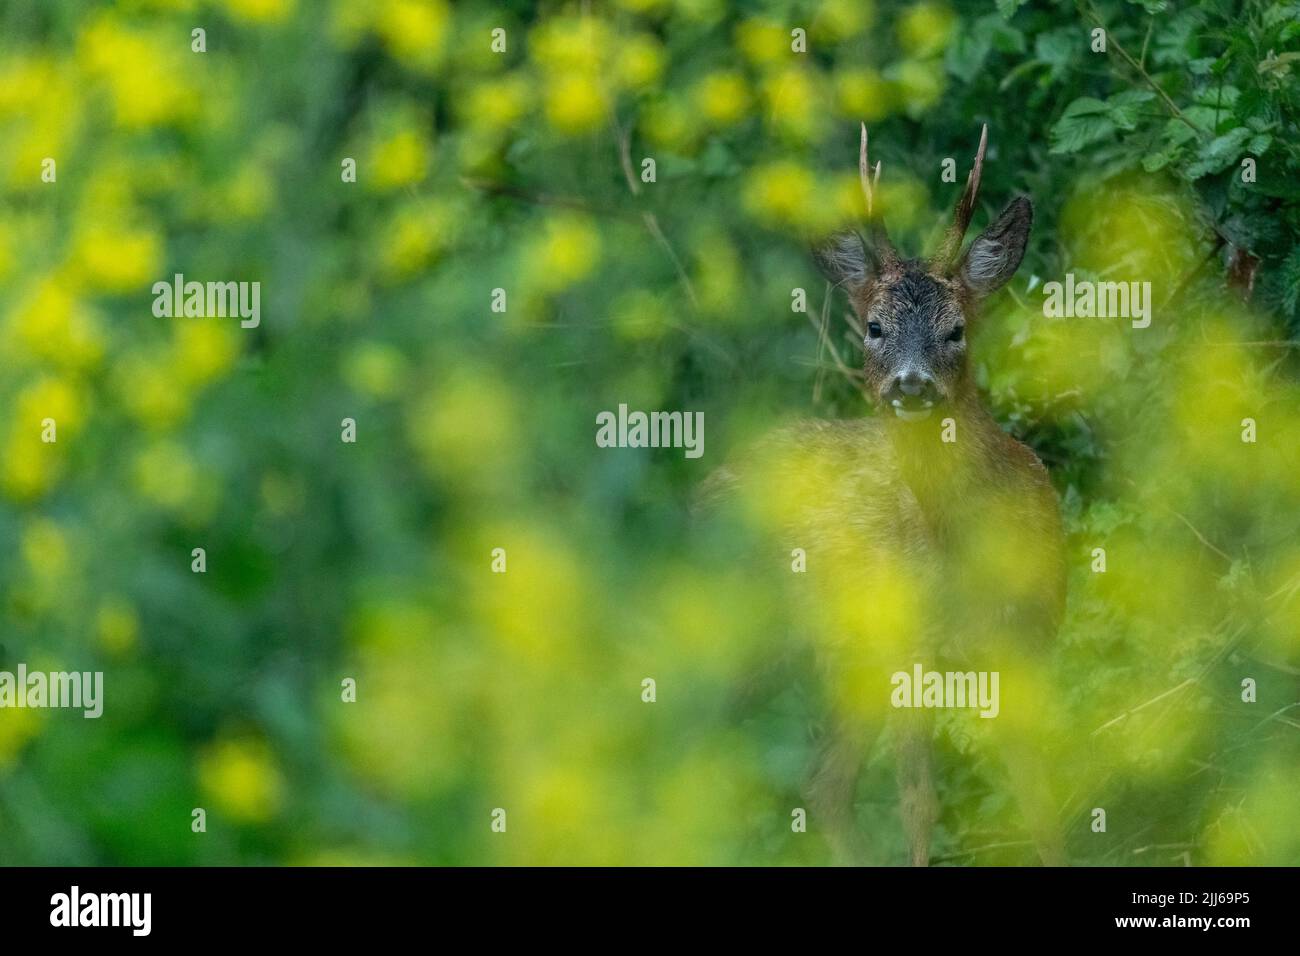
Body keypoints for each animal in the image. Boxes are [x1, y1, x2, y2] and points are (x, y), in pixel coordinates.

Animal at [702, 125, 1067, 865]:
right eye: (874, 327)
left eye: (957, 328)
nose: (911, 383)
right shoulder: (908, 647)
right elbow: (919, 805)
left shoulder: (1027, 637)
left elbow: (1040, 797)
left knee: (823, 782)